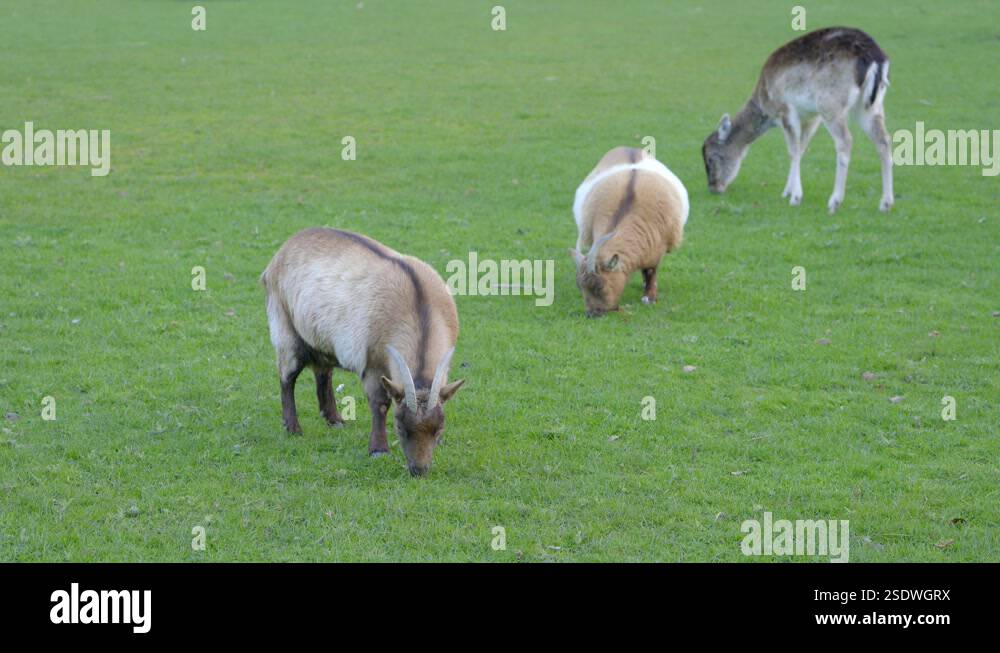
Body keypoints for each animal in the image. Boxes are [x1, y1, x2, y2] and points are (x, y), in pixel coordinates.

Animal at [261, 228, 465, 476]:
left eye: (439, 428)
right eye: (399, 426)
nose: (419, 470)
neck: (418, 306)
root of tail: (280, 254)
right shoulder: (373, 365)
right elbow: (380, 404)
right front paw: (378, 449)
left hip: (321, 339)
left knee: (323, 372)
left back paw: (334, 419)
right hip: (285, 328)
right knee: (287, 377)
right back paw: (293, 428)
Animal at [569, 147, 688, 317]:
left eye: (599, 286)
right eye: (580, 287)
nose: (592, 315)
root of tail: (628, 148)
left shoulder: (658, 249)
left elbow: (651, 270)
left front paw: (649, 297)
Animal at [702, 27, 893, 213]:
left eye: (711, 157)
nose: (714, 188)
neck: (765, 101)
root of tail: (875, 57)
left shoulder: (785, 110)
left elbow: (792, 151)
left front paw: (795, 198)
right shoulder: (812, 117)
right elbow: (801, 148)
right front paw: (787, 191)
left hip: (830, 103)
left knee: (845, 141)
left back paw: (834, 202)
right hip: (870, 107)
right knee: (884, 140)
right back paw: (886, 203)